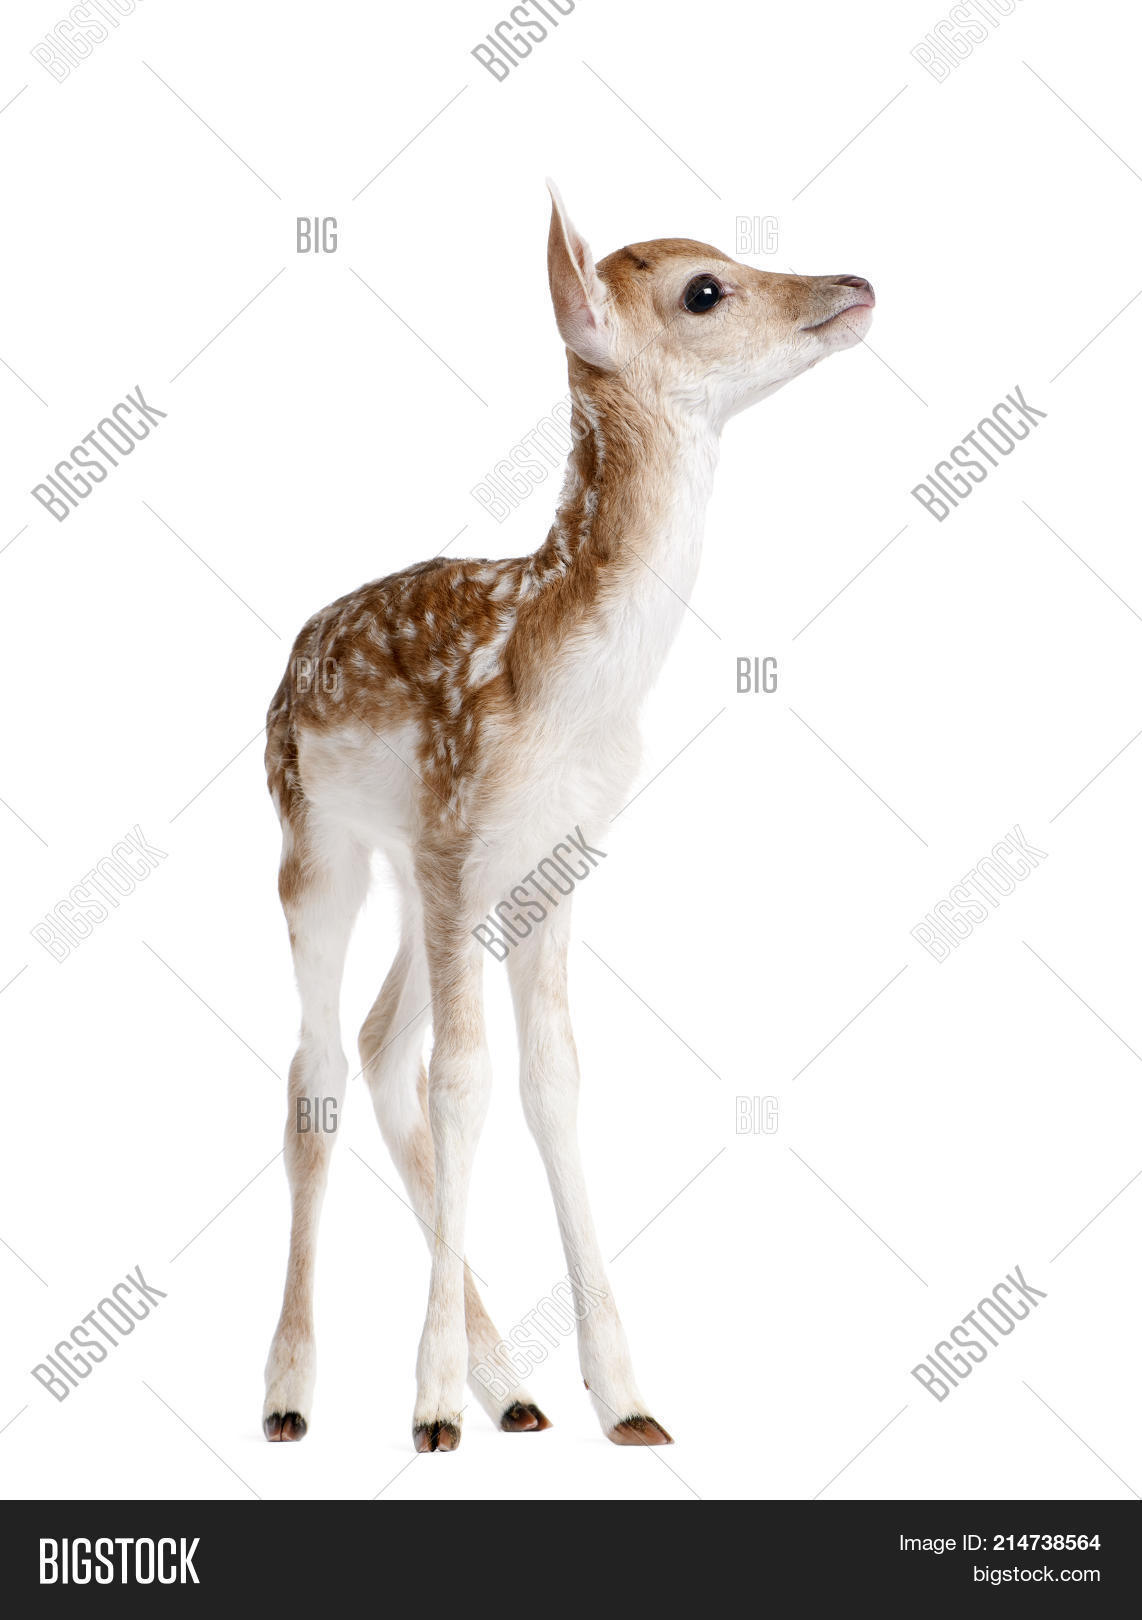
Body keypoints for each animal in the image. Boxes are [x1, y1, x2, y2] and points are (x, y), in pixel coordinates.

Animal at [261, 182, 874, 1452]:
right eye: (703, 289)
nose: (853, 284)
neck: (562, 687)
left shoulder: (546, 861)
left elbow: (549, 1083)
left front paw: (626, 1401)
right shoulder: (456, 835)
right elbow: (466, 1081)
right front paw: (428, 1411)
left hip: (422, 871)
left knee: (380, 1047)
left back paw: (513, 1391)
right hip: (316, 841)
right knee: (318, 1070)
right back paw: (293, 1395)